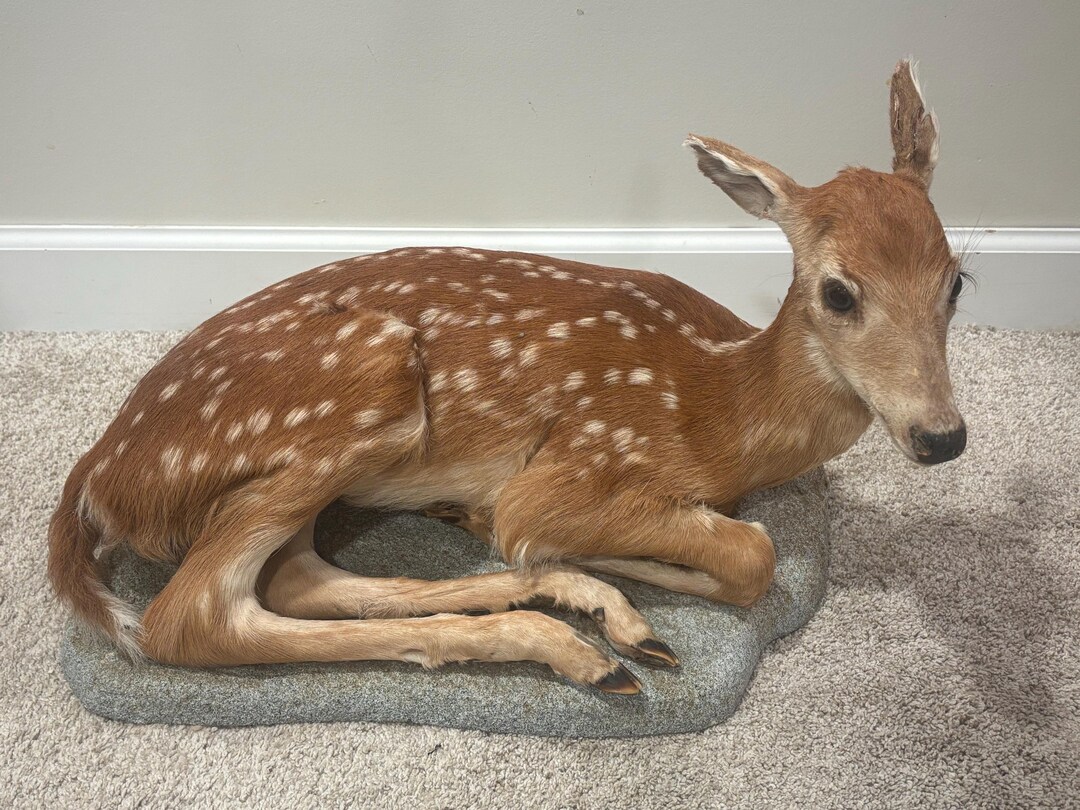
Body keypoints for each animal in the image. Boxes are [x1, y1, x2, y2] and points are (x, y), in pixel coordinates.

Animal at [48, 60, 967, 695]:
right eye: (839, 291)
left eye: (958, 279)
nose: (942, 435)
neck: (722, 410)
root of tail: (97, 476)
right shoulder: (584, 463)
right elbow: (752, 553)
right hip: (363, 390)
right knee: (191, 617)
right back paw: (579, 645)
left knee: (298, 580)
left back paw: (591, 614)